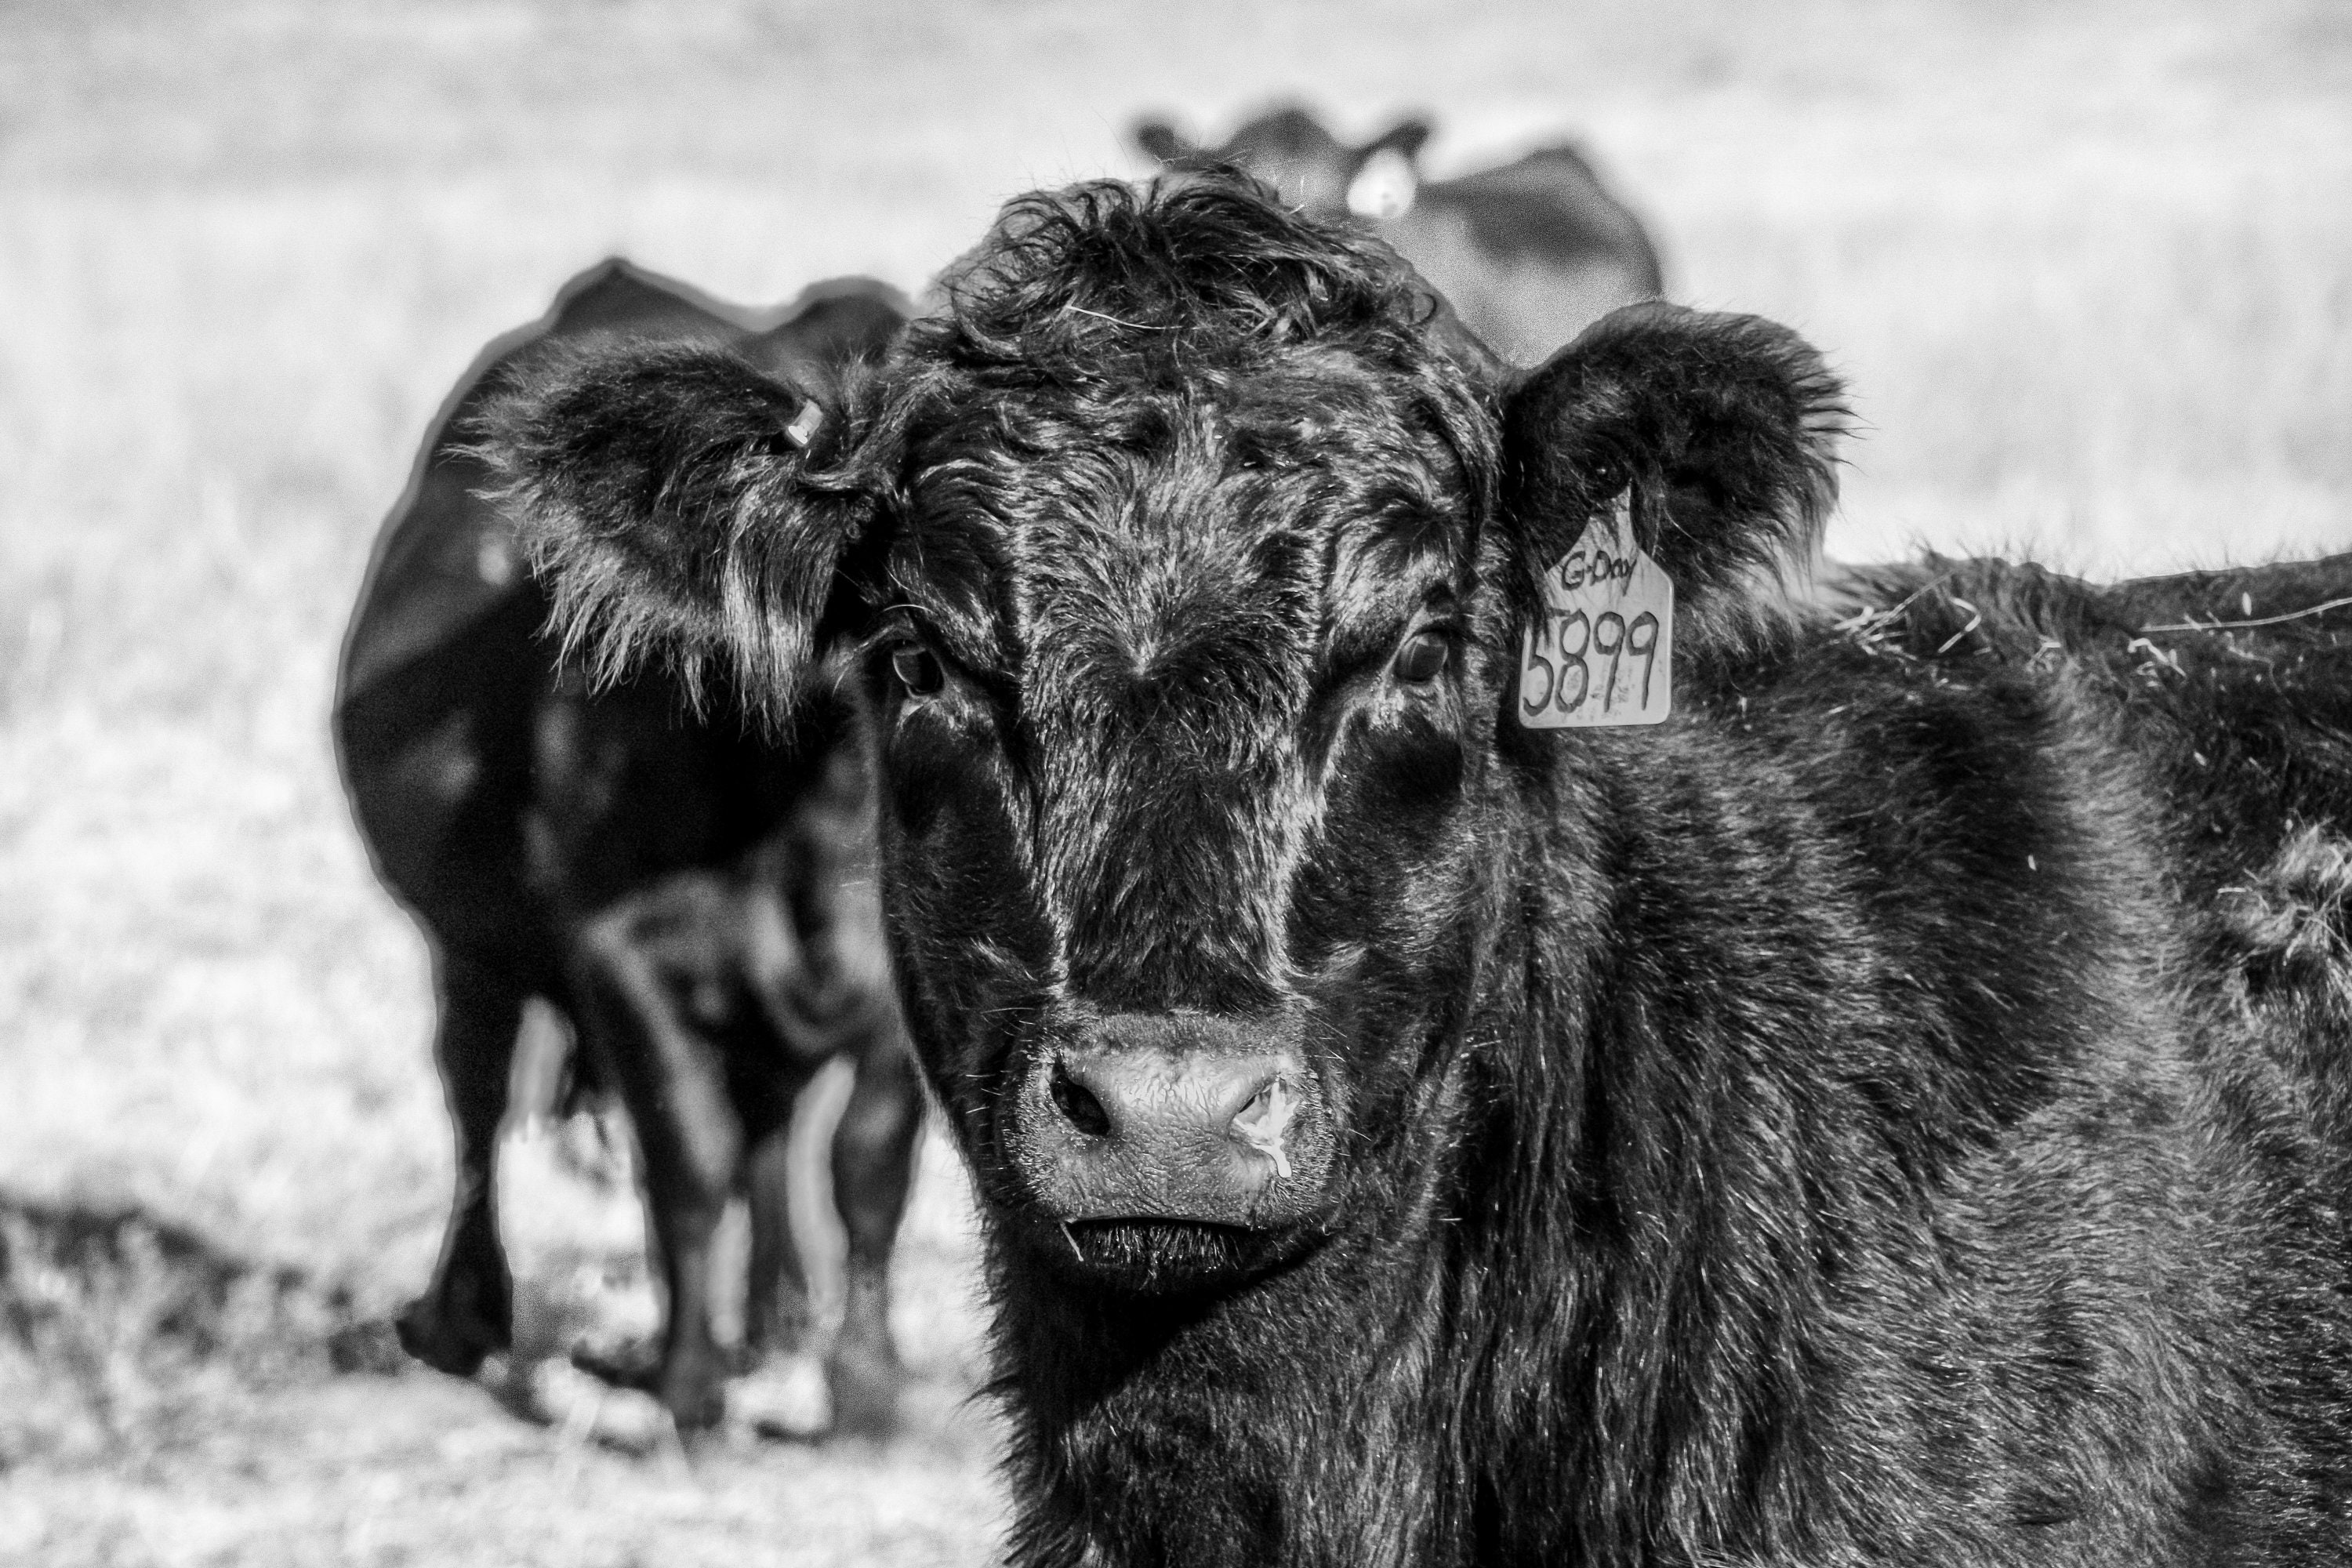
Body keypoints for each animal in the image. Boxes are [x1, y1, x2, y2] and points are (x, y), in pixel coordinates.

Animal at [332, 258, 925, 1438]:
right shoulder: (621, 955)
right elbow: (686, 1153)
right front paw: (686, 1387)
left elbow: (867, 1162)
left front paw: (864, 1383)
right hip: (468, 942)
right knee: (476, 1098)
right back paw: (461, 1318)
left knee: (769, 1121)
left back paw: (776, 1320)